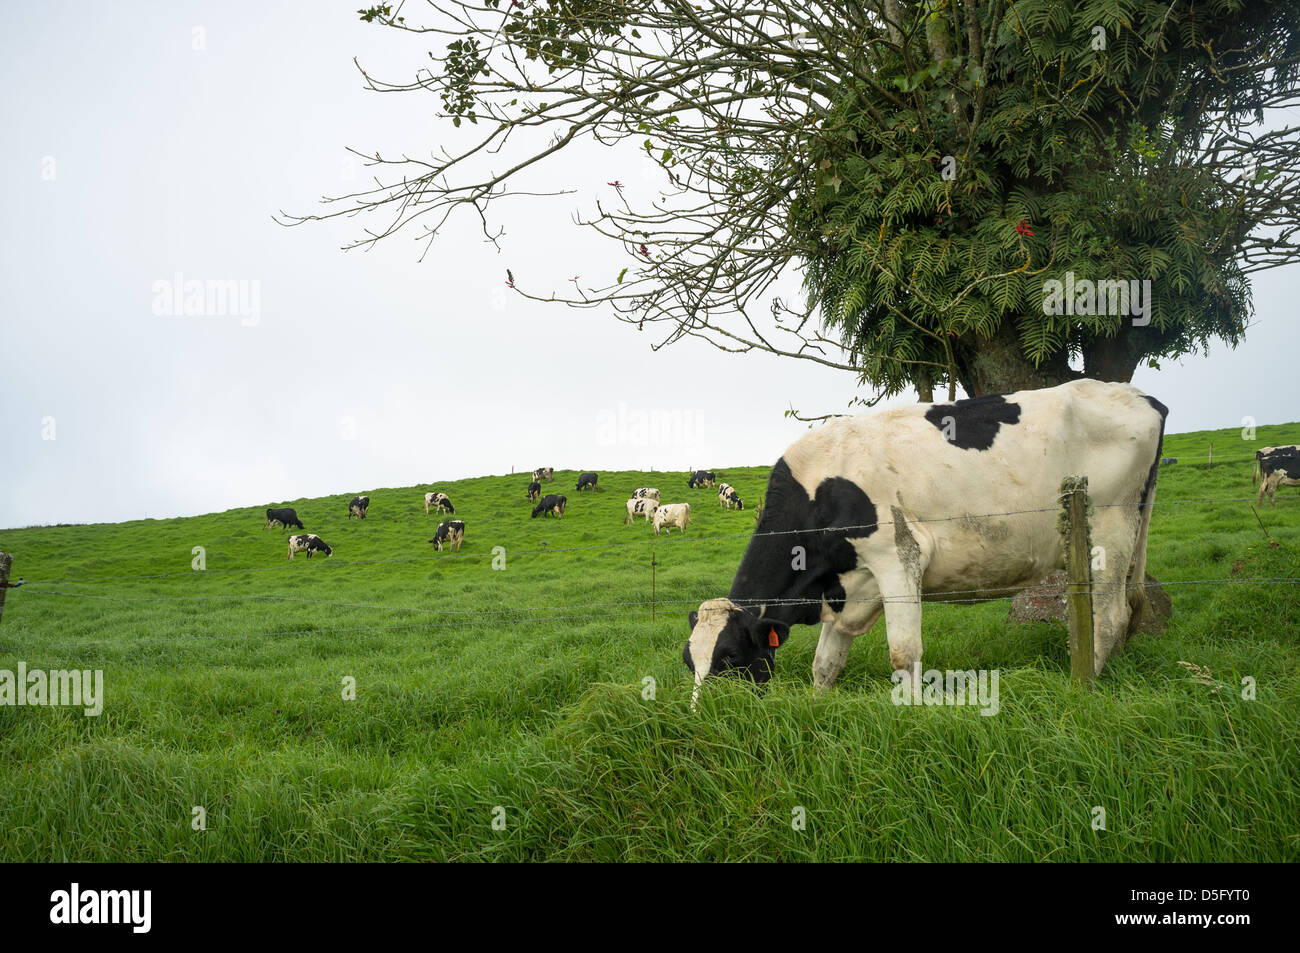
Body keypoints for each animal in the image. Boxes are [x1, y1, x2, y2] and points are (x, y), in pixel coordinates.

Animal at [682, 379, 1168, 705]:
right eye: (690, 662)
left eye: (729, 657)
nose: (706, 717)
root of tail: (1141, 396)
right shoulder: (848, 588)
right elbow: (824, 665)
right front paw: (817, 709)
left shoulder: (898, 558)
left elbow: (904, 655)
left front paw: (911, 715)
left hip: (1109, 529)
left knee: (1110, 617)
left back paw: (1085, 689)